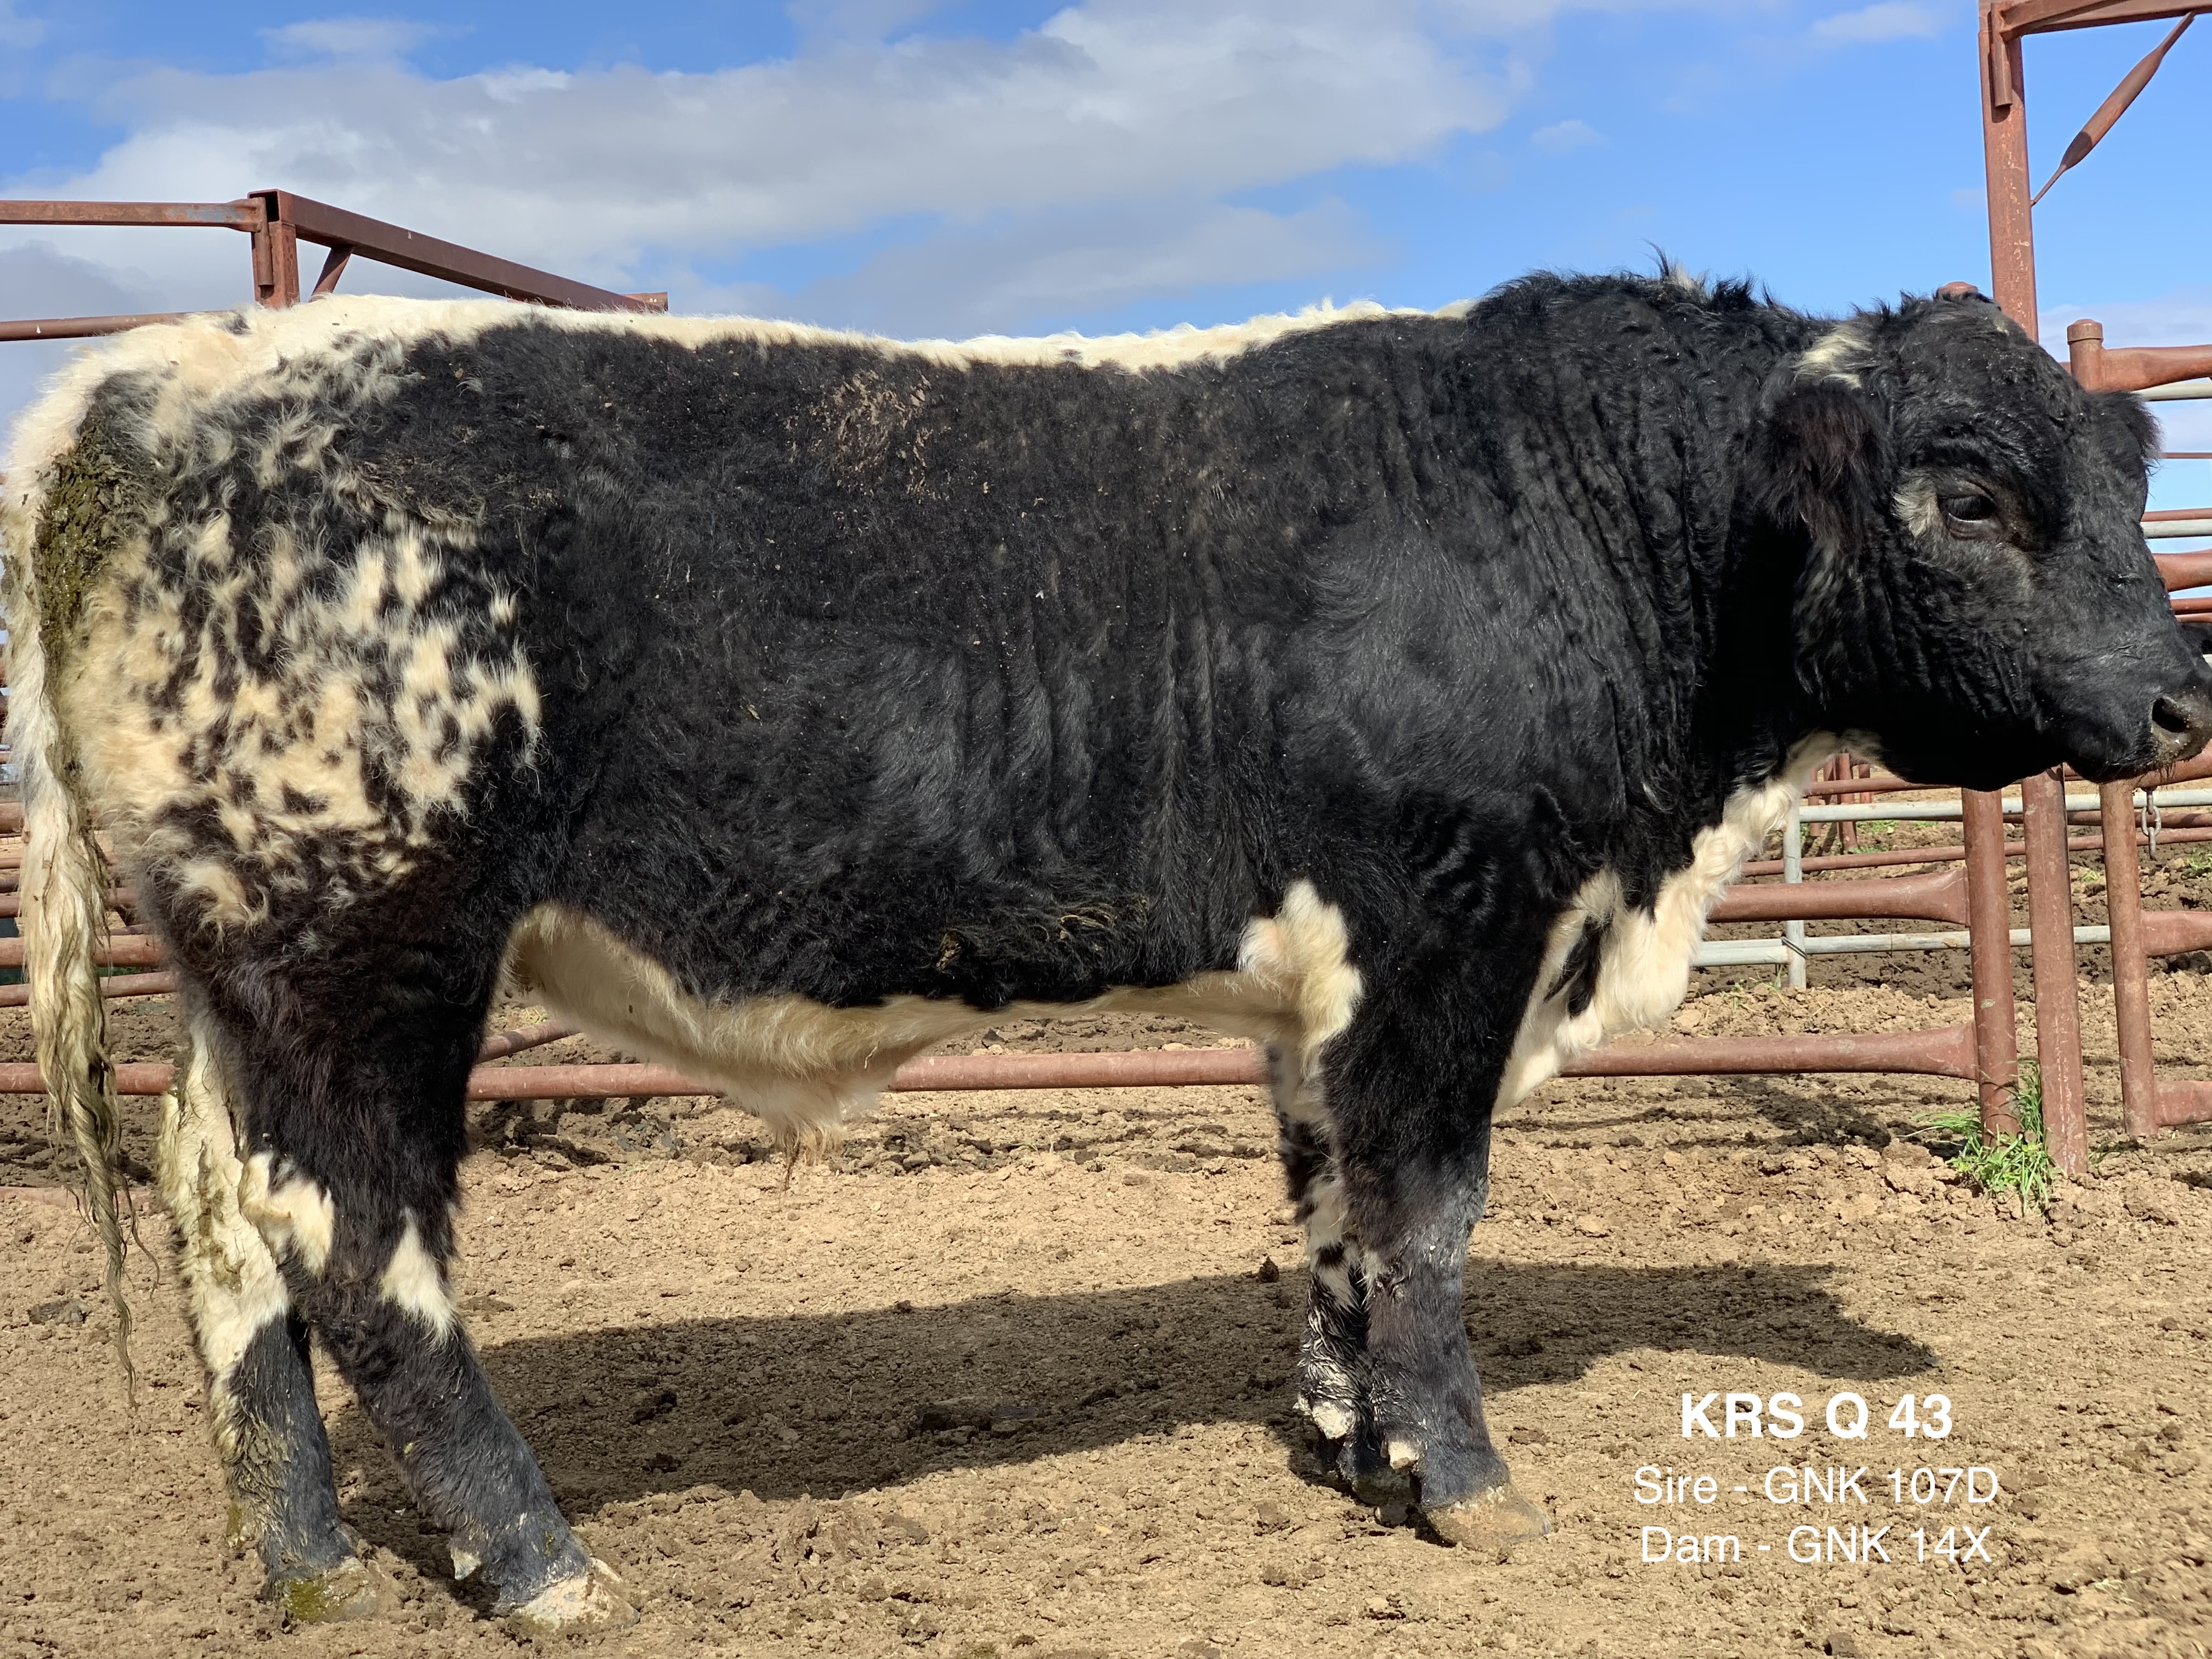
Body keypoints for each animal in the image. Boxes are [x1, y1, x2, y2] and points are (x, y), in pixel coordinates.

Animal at [6, 270, 2206, 1633]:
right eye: (1969, 494)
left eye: (2124, 481)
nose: (2183, 697)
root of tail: (160, 368)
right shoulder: (1448, 937)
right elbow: (1426, 1215)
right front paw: (1466, 1476)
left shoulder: (1326, 986)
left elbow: (1332, 1217)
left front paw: (1349, 1438)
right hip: (364, 938)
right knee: (356, 1246)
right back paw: (540, 1563)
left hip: (244, 975)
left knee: (221, 1218)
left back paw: (299, 1555)